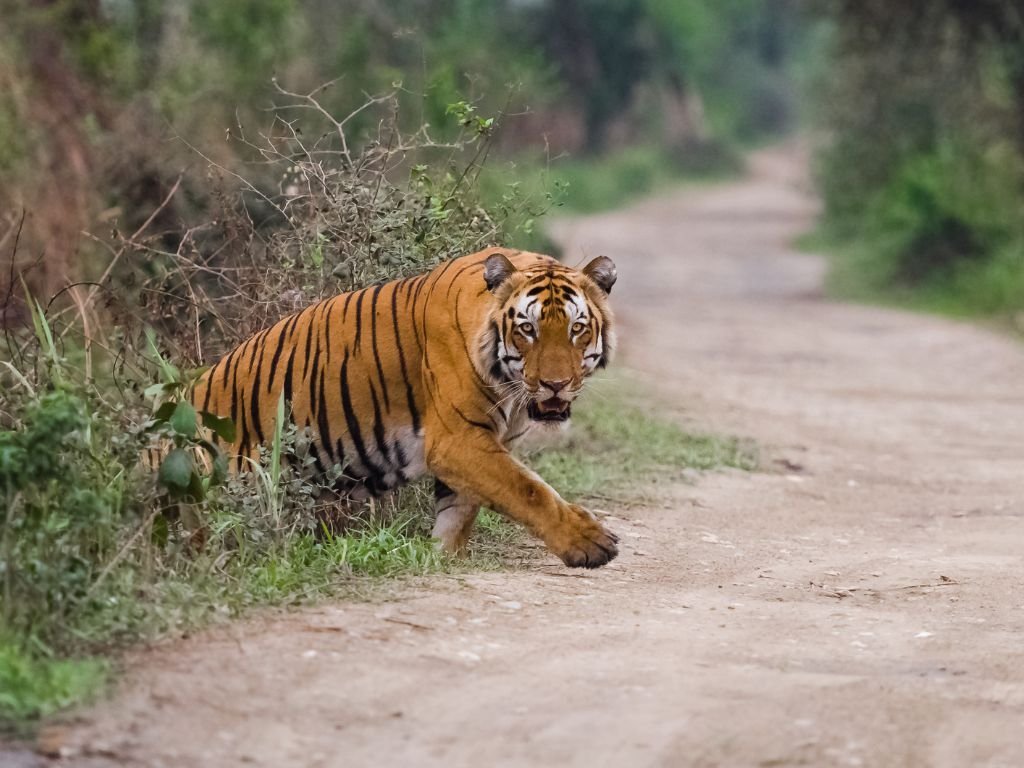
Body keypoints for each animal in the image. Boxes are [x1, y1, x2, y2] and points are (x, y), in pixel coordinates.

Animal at [192, 247, 620, 568]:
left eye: (577, 328)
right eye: (527, 329)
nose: (555, 384)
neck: (511, 392)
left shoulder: (476, 445)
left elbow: (459, 512)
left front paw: (443, 558)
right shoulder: (457, 440)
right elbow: (528, 489)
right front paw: (588, 542)